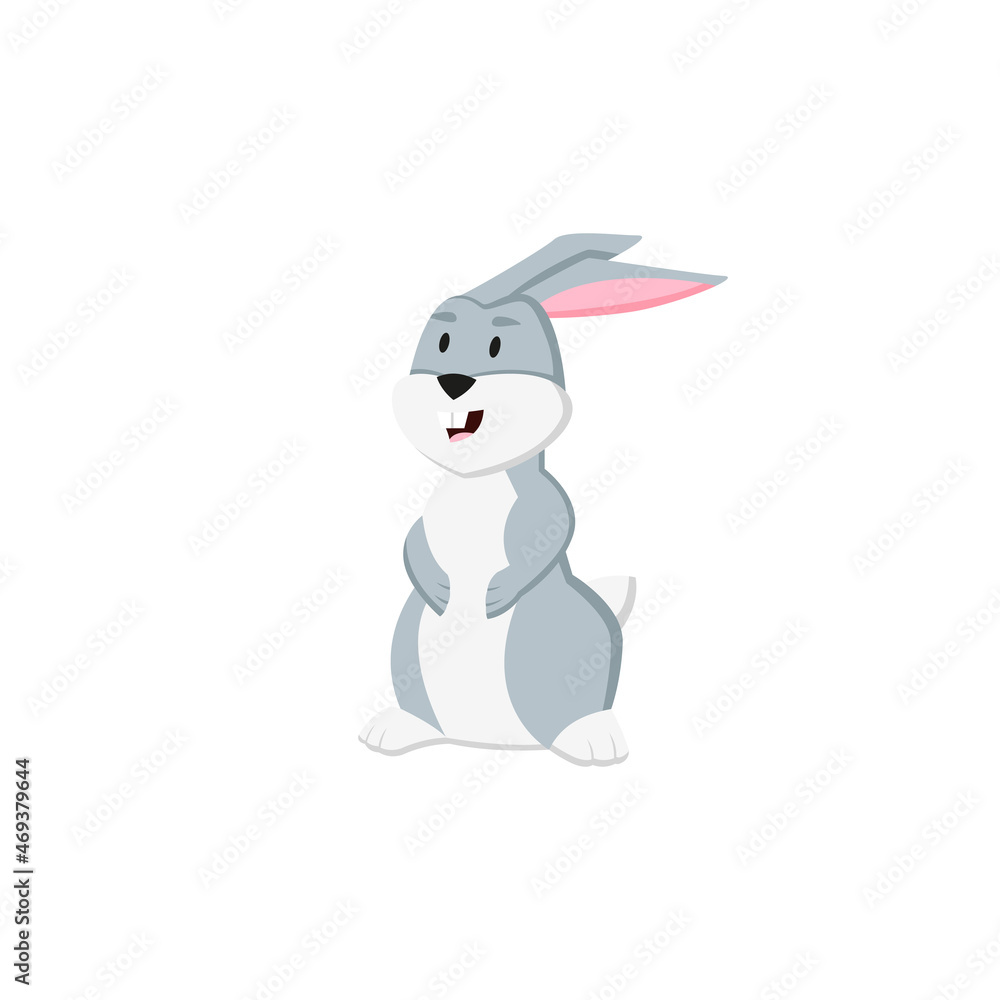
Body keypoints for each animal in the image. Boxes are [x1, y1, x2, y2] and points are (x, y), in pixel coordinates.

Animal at [359, 234, 726, 765]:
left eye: (497, 346)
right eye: (442, 341)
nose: (453, 381)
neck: (478, 481)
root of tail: (492, 741)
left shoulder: (545, 503)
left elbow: (554, 532)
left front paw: (501, 590)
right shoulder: (428, 513)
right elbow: (412, 540)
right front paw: (437, 586)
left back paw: (591, 736)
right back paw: (399, 728)